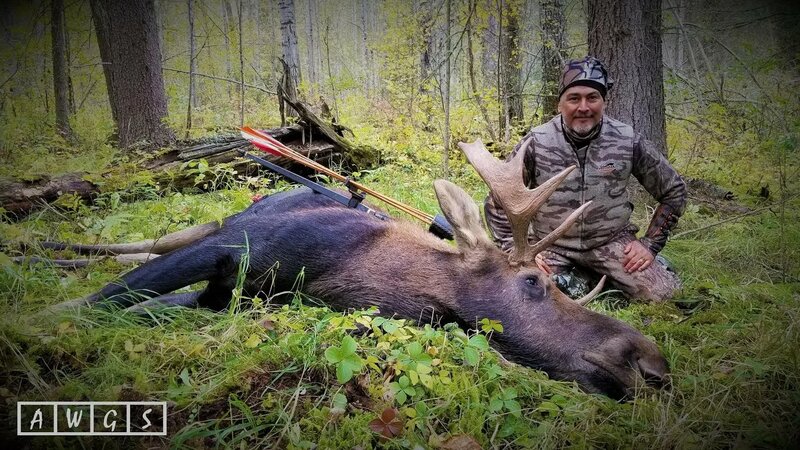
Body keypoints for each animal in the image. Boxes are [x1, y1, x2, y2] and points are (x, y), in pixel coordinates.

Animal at [41, 140, 669, 400]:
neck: (344, 274)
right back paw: (48, 245)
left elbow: (142, 305)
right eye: (533, 282)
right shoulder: (233, 248)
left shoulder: (222, 296)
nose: (650, 361)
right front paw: (37, 320)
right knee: (138, 245)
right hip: (218, 222)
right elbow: (100, 299)